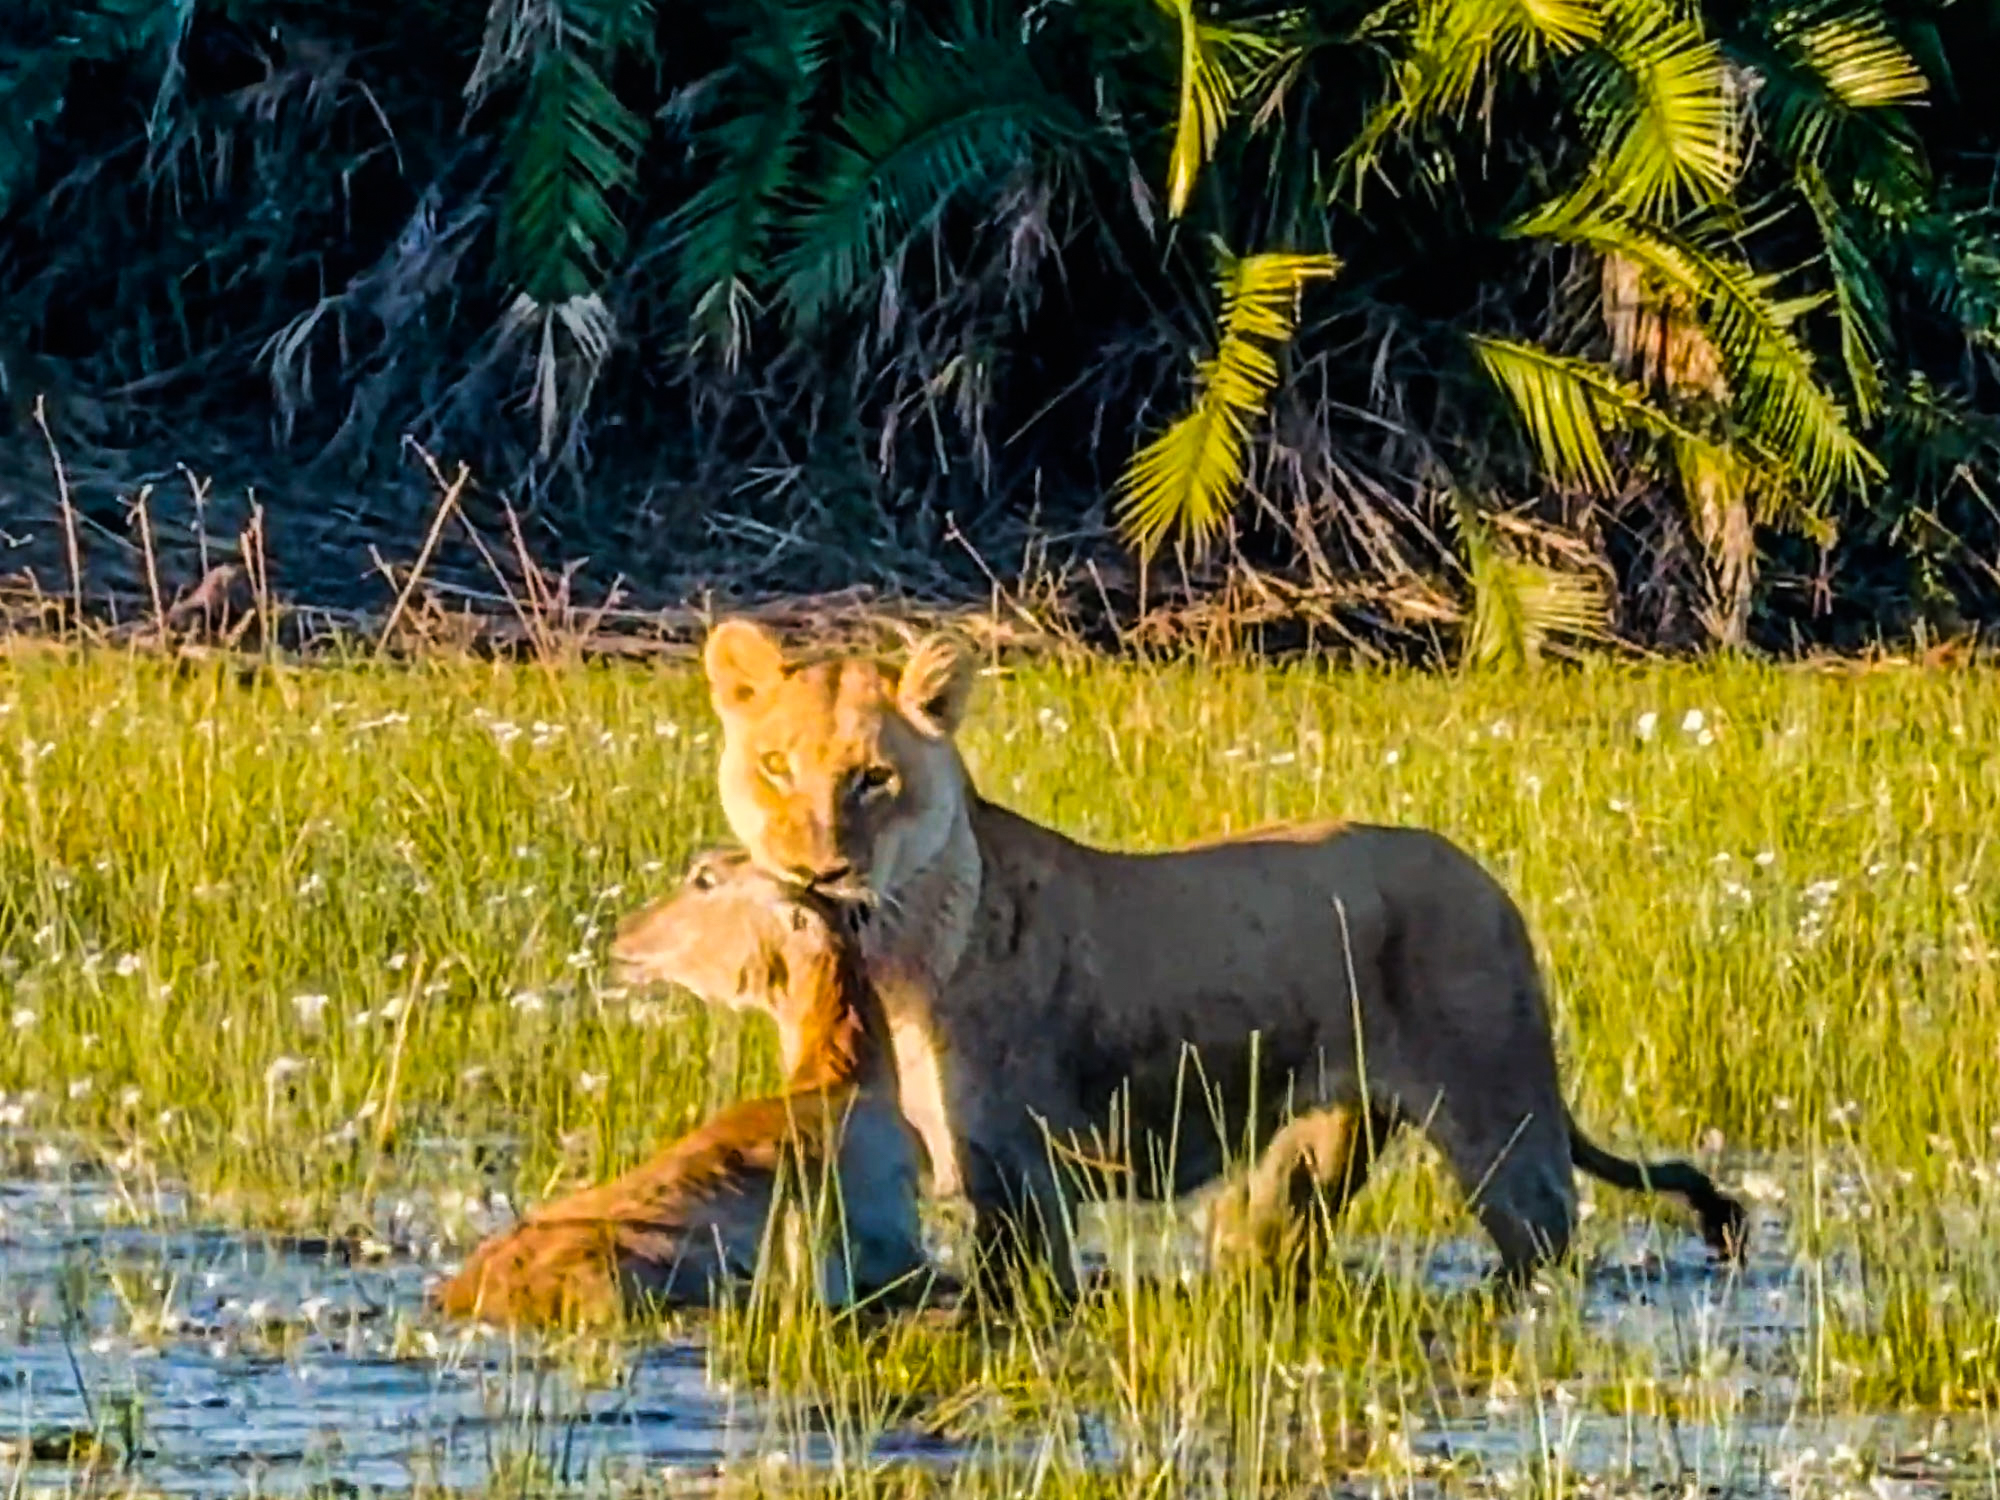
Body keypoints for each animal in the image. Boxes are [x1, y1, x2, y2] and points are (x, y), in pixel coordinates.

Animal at [694, 618, 1748, 1302]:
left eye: (874, 778)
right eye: (776, 765)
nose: (813, 869)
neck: (902, 955)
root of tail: (1486, 879)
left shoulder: (1023, 1180)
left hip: (1507, 1130)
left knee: (1546, 1242)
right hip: (1311, 1156)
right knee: (1273, 1240)